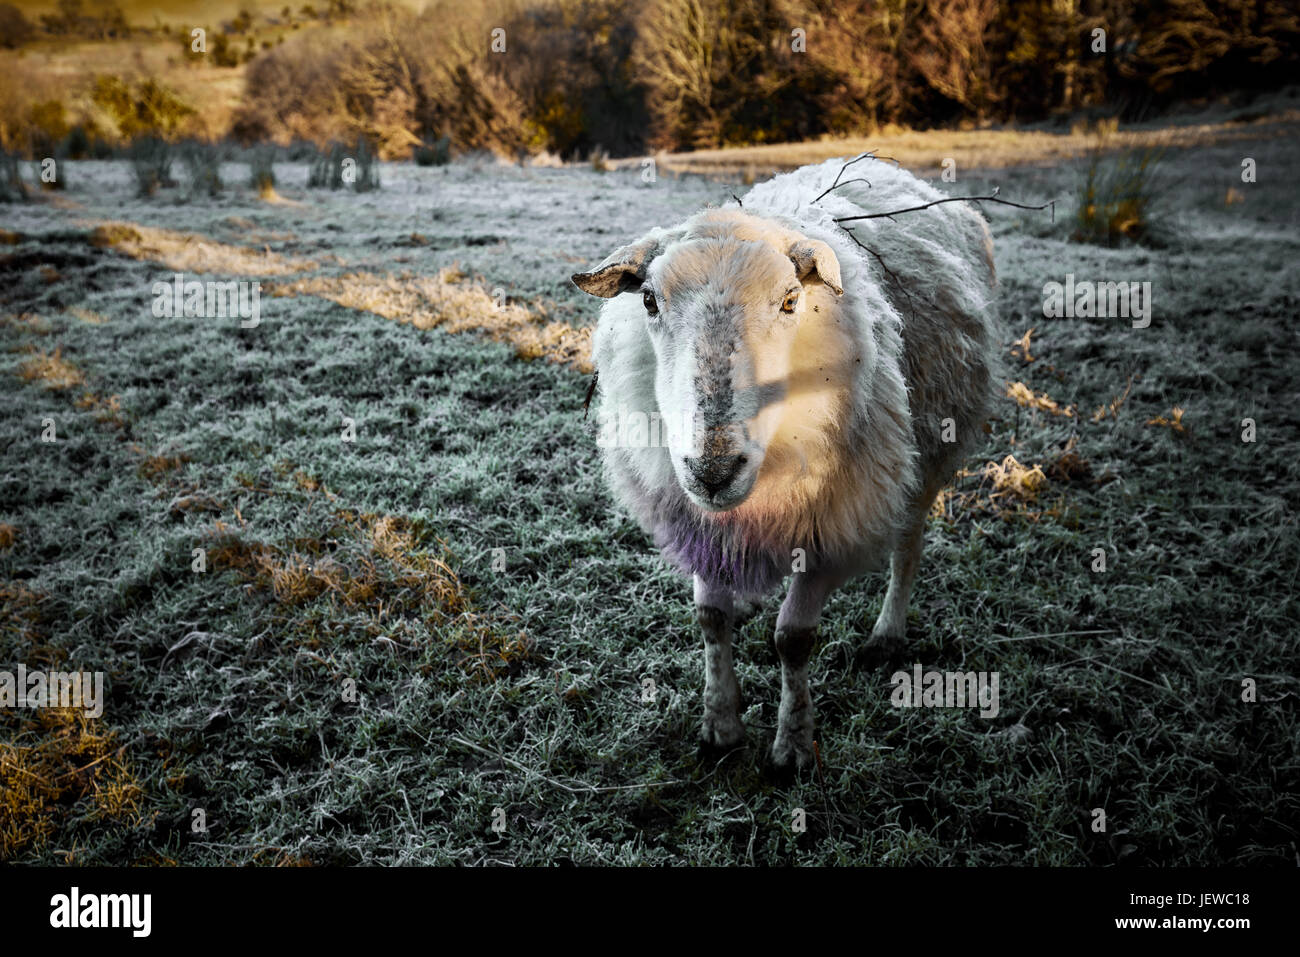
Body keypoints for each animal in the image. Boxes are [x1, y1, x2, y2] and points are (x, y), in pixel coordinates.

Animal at [572, 156, 999, 772]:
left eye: (792, 301)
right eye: (649, 300)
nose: (713, 469)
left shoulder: (829, 524)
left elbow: (793, 639)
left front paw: (792, 747)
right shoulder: (698, 519)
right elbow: (711, 619)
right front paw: (720, 727)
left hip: (928, 452)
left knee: (908, 545)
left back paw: (887, 634)